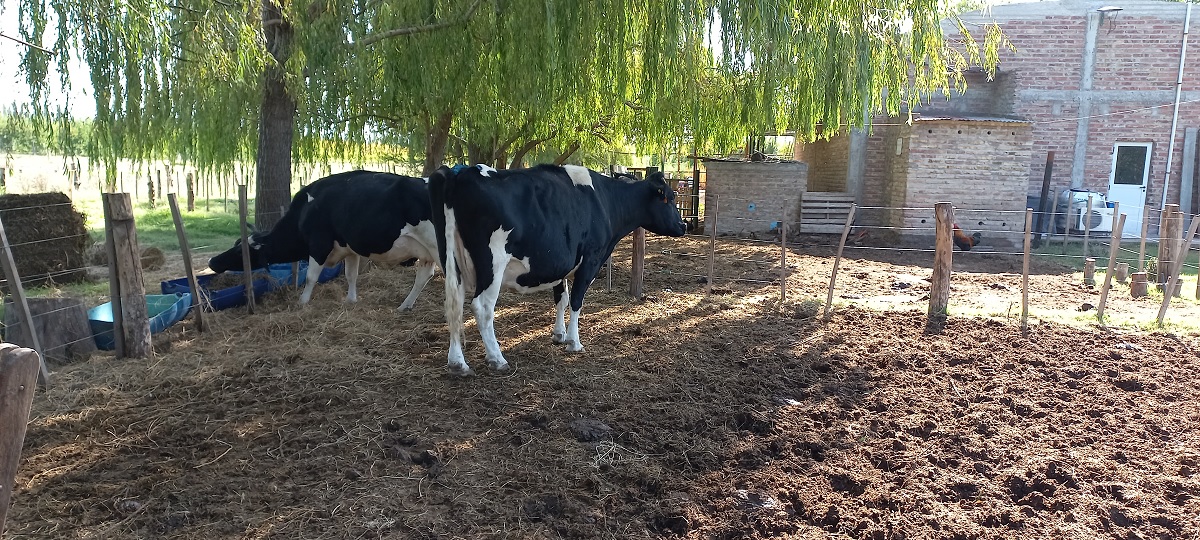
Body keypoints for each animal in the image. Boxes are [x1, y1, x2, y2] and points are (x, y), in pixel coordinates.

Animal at [208, 170, 439, 310]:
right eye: (237, 244)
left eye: (241, 251)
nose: (212, 261)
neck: (304, 211)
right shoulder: (349, 249)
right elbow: (351, 275)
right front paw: (351, 300)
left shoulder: (318, 246)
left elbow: (311, 277)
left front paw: (302, 302)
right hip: (426, 252)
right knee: (423, 276)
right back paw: (404, 306)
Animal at [428, 164, 688, 375]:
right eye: (669, 198)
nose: (683, 225)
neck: (606, 201)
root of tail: (459, 173)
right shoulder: (590, 260)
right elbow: (576, 301)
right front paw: (574, 342)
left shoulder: (561, 264)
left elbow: (561, 298)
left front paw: (558, 335)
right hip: (492, 264)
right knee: (482, 307)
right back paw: (497, 358)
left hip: (452, 262)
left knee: (454, 305)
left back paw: (457, 363)